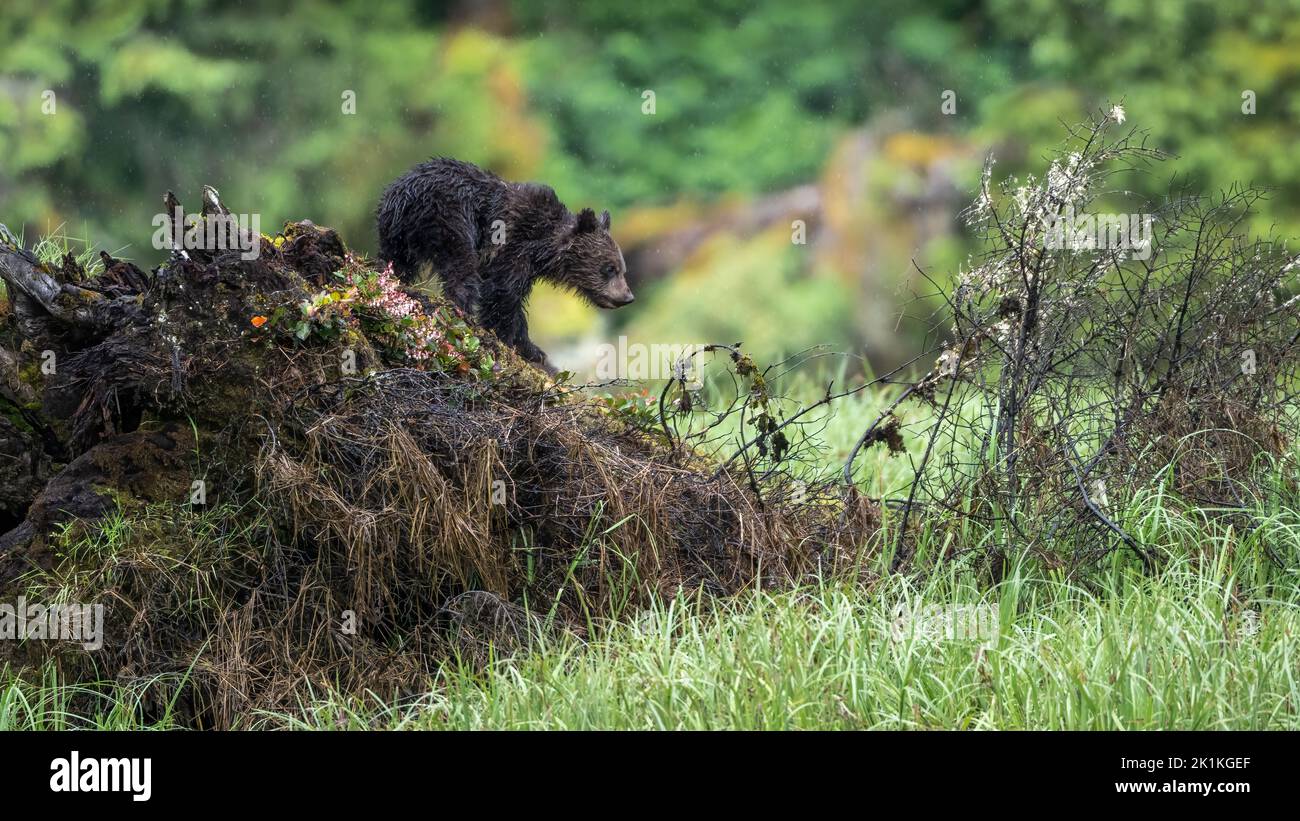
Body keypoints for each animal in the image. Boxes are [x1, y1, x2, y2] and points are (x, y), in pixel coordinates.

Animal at [375, 158, 634, 372]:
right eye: (609, 268)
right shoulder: (512, 248)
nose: (627, 297)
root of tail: (409, 194)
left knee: (396, 261)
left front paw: (531, 349)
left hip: (394, 231)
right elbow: (503, 294)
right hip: (453, 219)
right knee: (461, 270)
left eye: (622, 269)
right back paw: (462, 313)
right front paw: (522, 345)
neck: (543, 247)